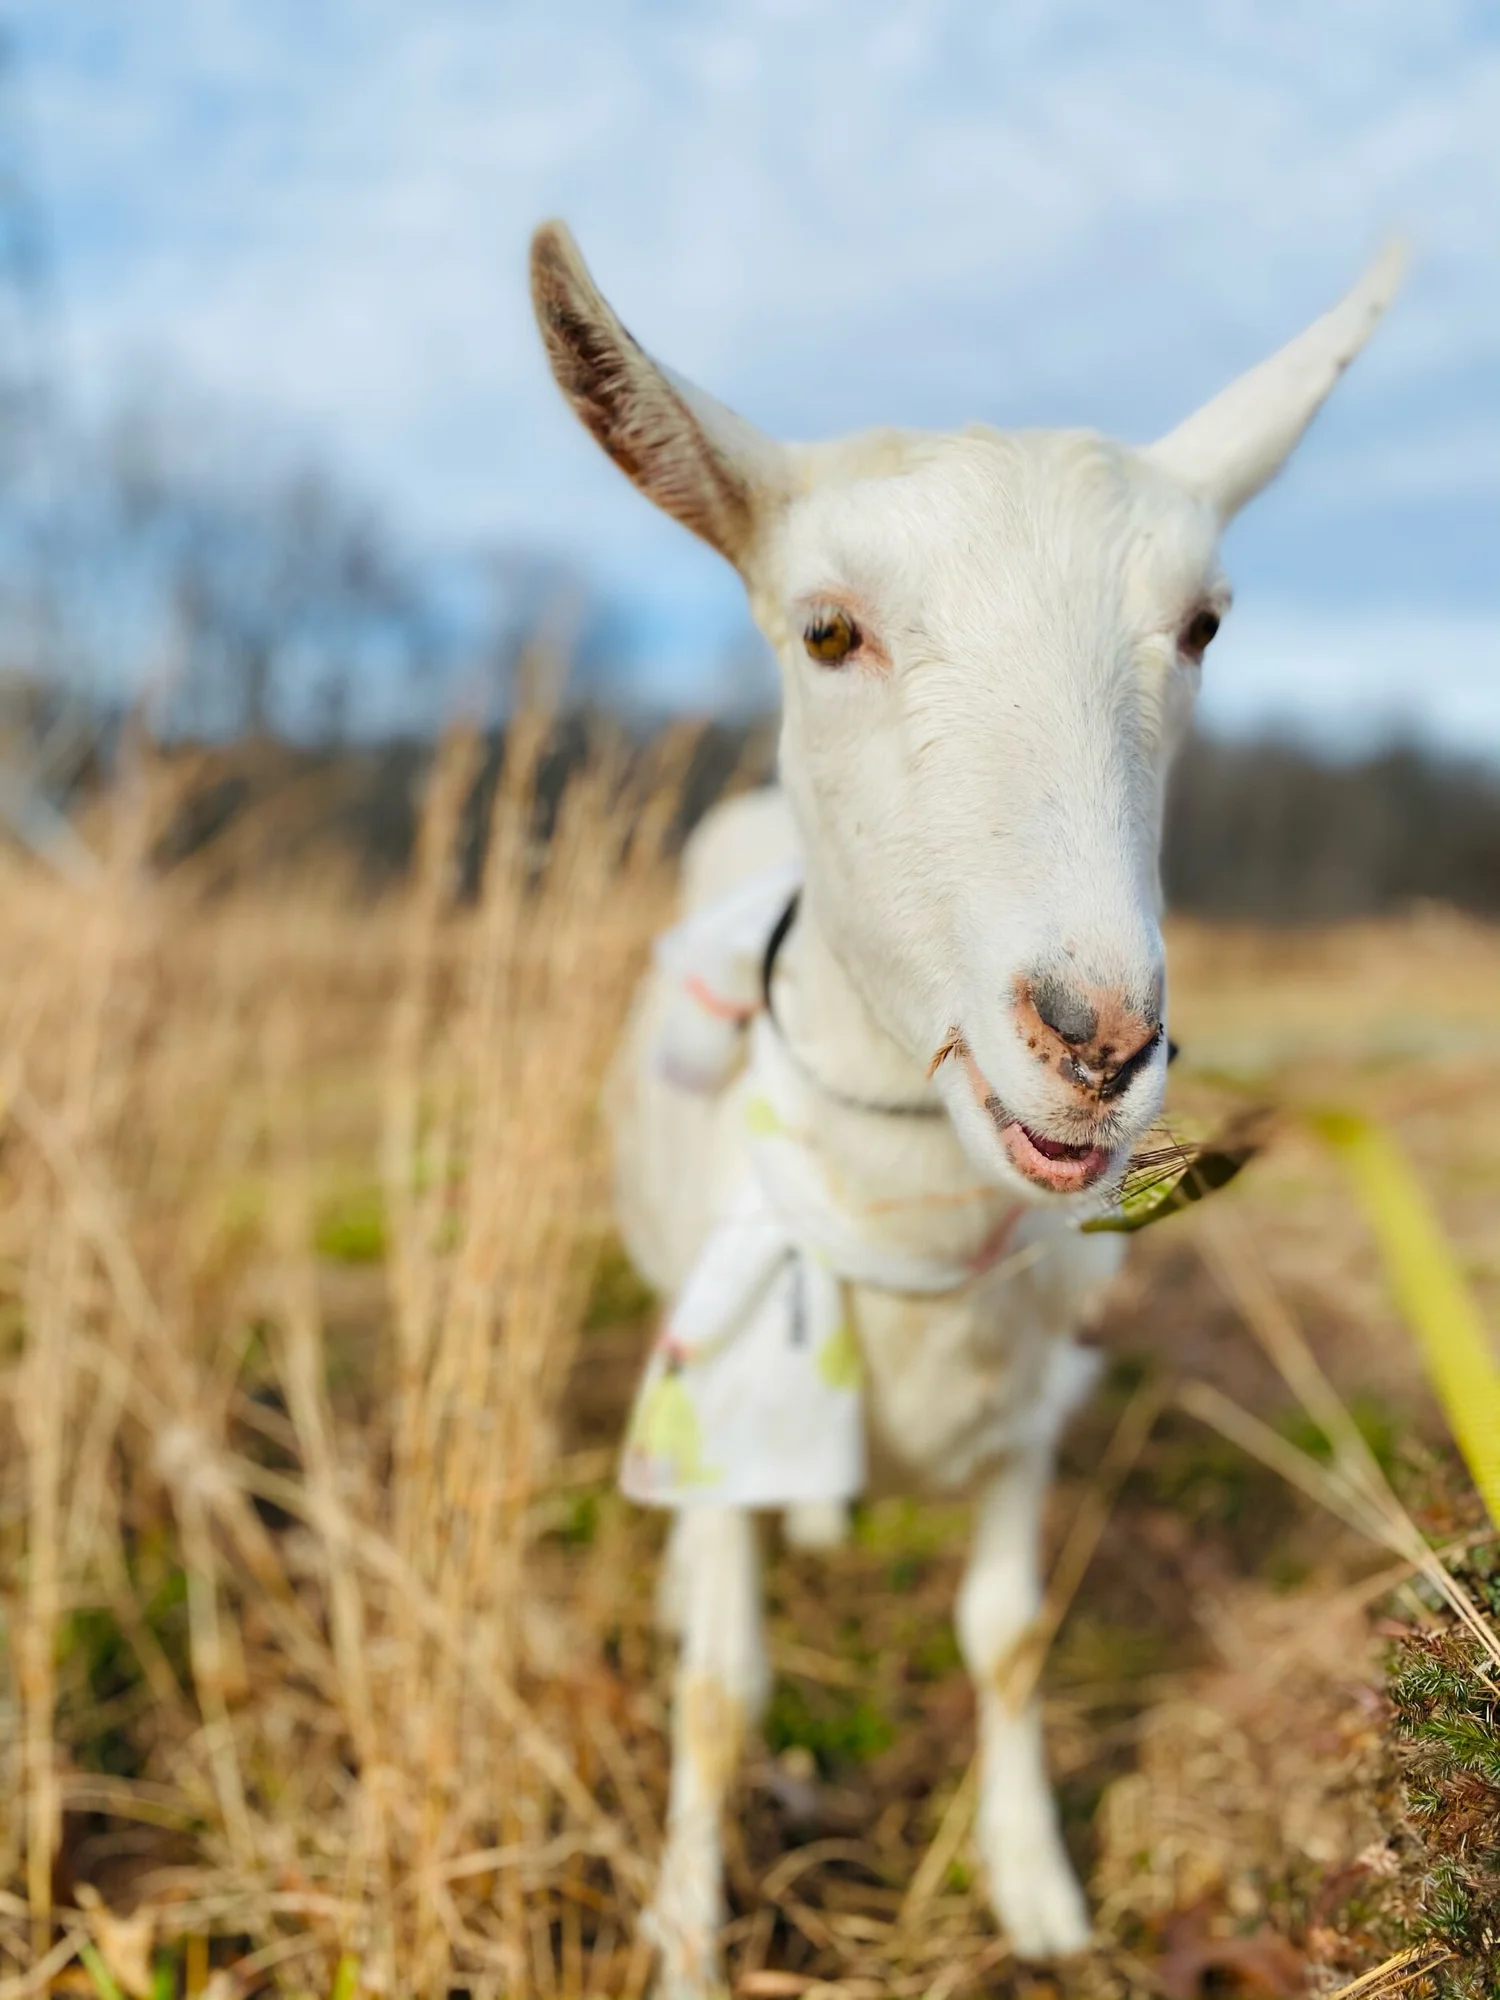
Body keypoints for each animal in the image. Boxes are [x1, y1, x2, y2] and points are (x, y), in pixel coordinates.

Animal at [529, 223, 1402, 1995]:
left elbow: (1003, 1642)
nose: (1095, 1034)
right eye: (826, 632)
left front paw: (1040, 1894)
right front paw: (685, 1935)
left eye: (1204, 625)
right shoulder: (724, 1396)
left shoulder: (1031, 1409)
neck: (910, 1213)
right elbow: (717, 1696)